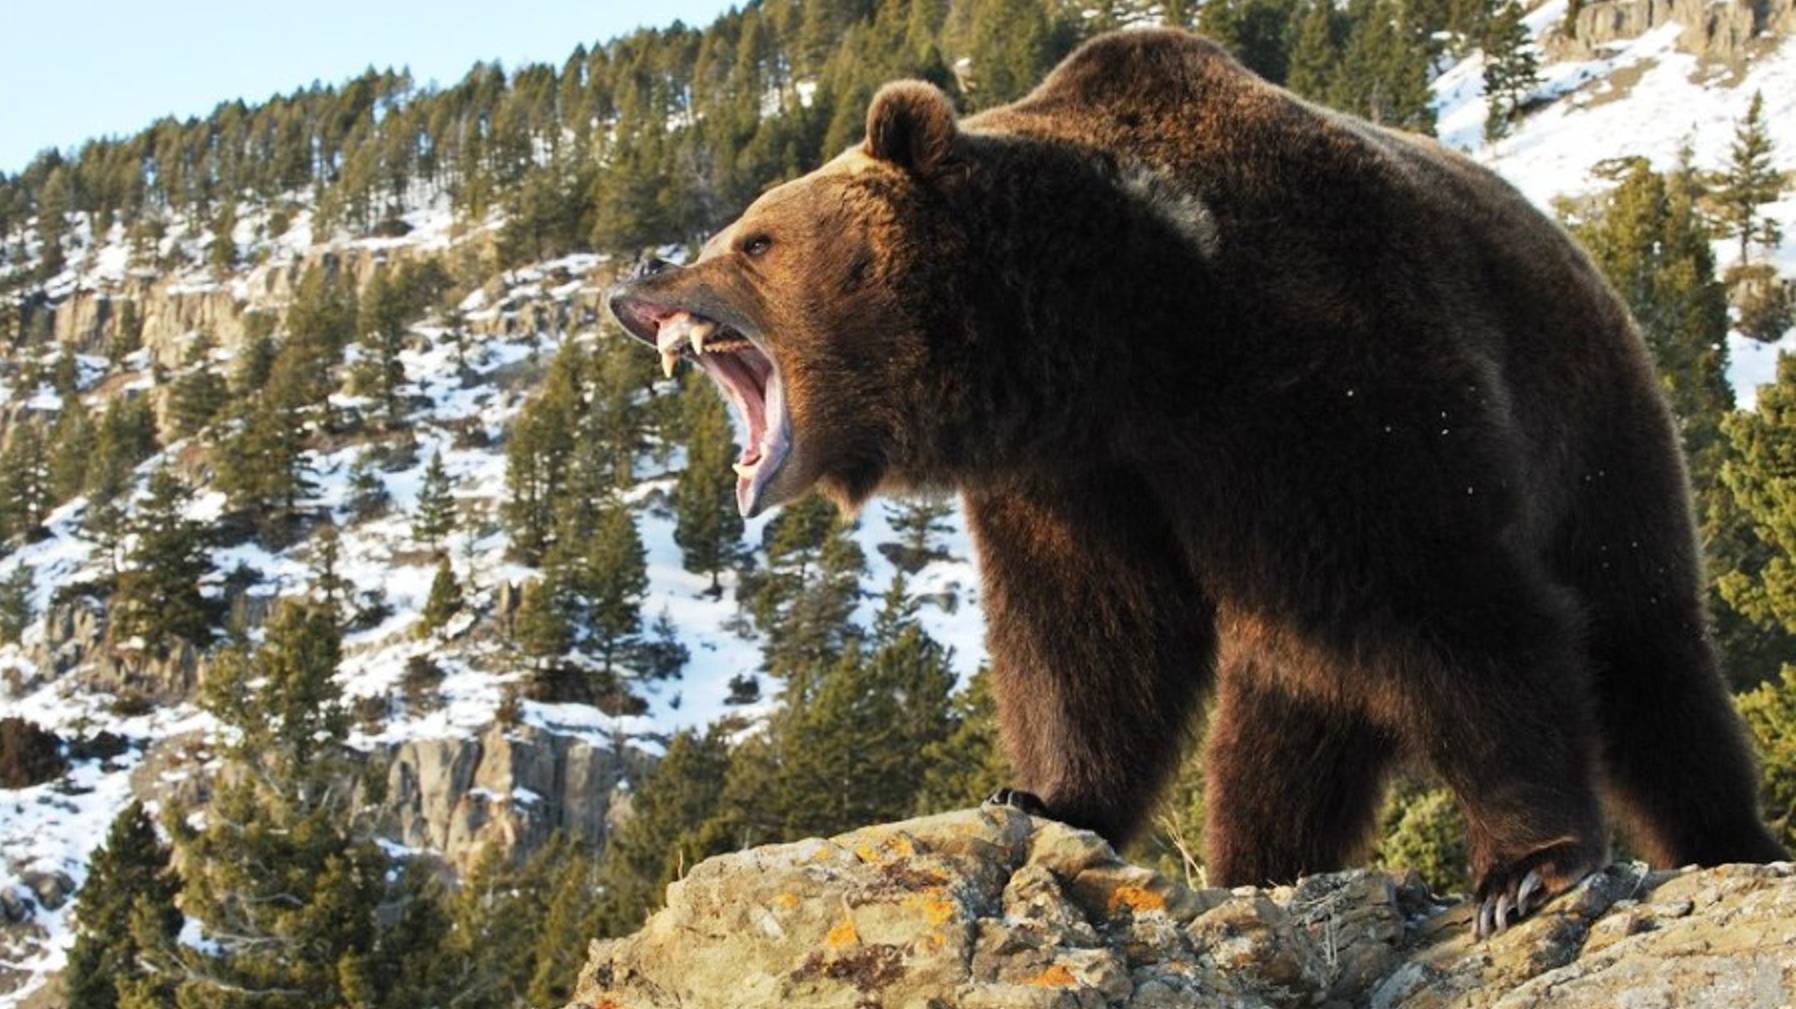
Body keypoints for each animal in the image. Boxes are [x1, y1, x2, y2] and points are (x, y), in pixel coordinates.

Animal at [607, 27, 1786, 936]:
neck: (1133, 331)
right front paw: (1040, 789)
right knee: (1288, 715)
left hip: (1591, 429)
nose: (642, 272)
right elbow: (1088, 635)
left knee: (1643, 644)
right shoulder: (1078, 474)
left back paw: (1725, 836)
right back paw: (1264, 864)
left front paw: (1524, 866)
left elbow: (1457, 605)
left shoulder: (1323, 384)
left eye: (754, 237)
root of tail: (1579, 255)